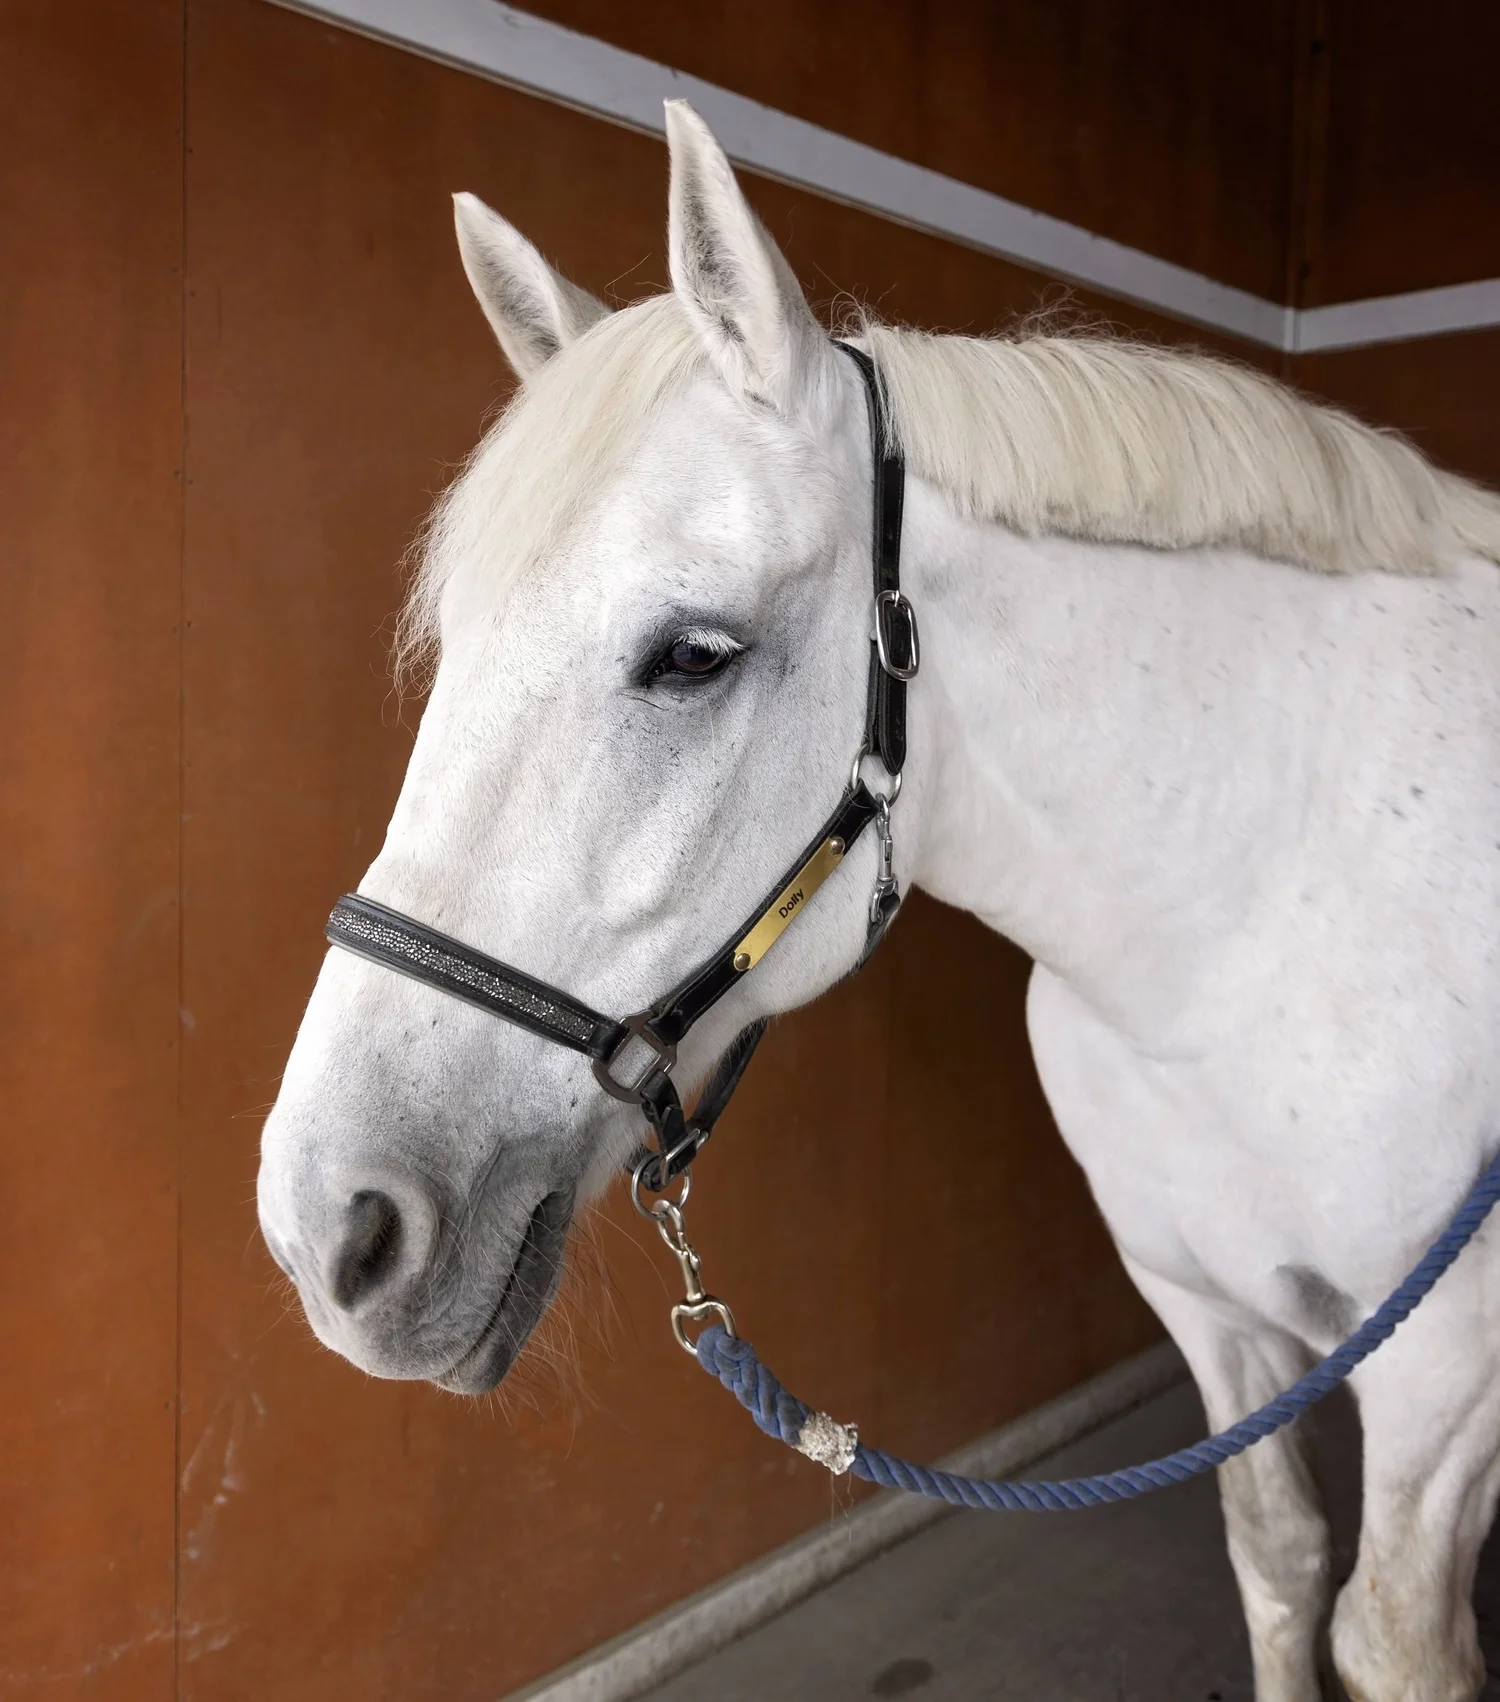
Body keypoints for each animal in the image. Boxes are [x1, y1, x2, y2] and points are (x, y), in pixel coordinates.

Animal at [258, 101, 1500, 1702]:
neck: (1257, 920)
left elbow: (1392, 1636)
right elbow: (1280, 1558)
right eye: (456, 637)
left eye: (692, 654)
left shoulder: (1442, 1370)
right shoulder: (1209, 1308)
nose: (326, 1228)